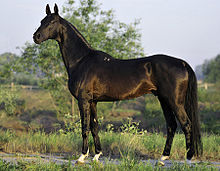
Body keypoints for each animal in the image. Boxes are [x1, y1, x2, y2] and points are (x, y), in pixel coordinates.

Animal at [33, 4, 203, 164]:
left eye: (52, 22)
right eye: (42, 21)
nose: (36, 36)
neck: (82, 60)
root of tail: (182, 63)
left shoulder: (83, 100)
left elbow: (85, 127)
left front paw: (82, 157)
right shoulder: (93, 101)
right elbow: (94, 126)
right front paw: (97, 155)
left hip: (174, 101)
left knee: (186, 125)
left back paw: (188, 158)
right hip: (163, 100)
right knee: (171, 126)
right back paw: (162, 158)